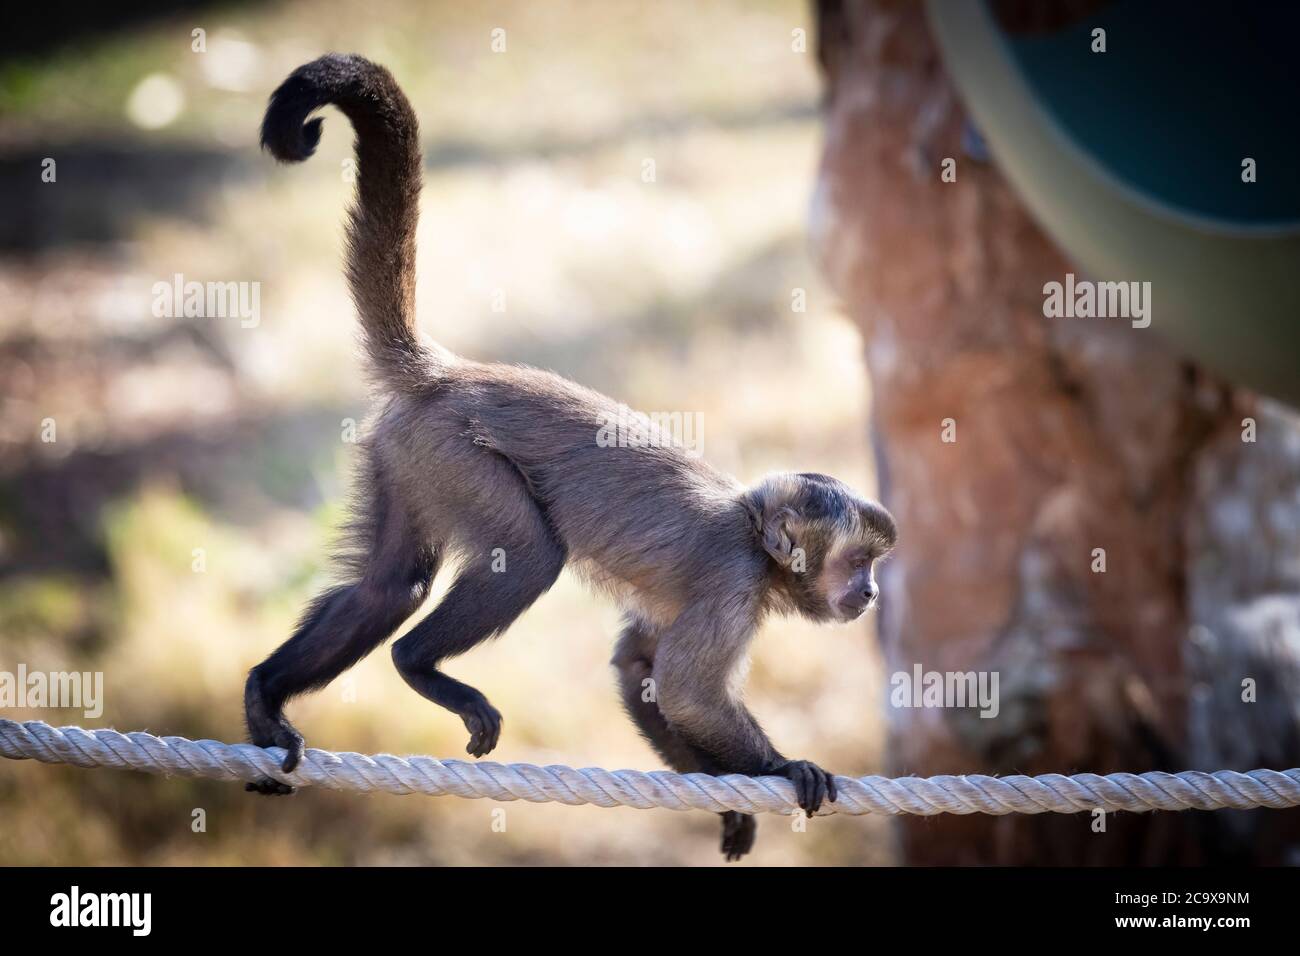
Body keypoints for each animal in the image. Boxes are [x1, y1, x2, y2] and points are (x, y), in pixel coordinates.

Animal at [244, 53, 897, 861]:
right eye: (857, 561)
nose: (871, 593)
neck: (754, 531)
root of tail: (448, 373)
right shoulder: (735, 584)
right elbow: (685, 692)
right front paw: (785, 768)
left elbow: (638, 670)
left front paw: (729, 804)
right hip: (456, 450)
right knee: (528, 553)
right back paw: (416, 663)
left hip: (407, 450)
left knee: (387, 589)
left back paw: (265, 695)